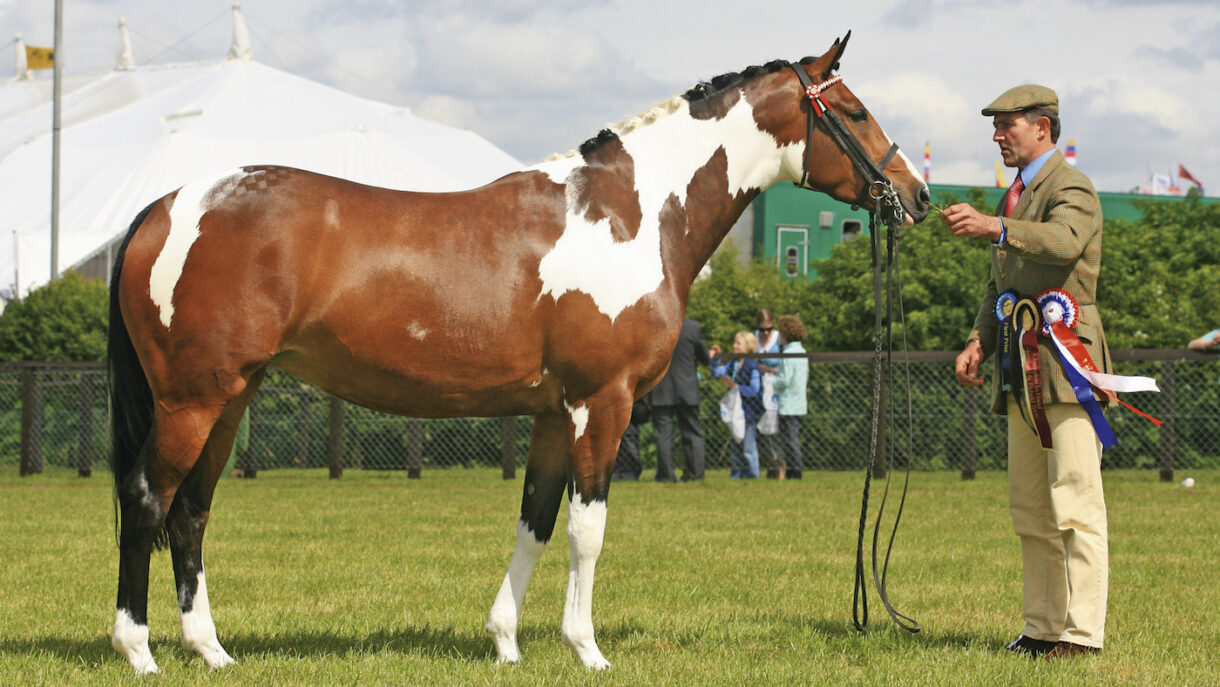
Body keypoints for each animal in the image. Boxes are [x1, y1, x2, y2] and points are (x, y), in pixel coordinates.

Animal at [107, 32, 929, 674]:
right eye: (853, 110)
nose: (915, 195)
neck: (631, 214)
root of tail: (165, 206)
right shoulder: (602, 403)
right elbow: (587, 529)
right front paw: (588, 648)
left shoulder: (550, 414)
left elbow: (534, 520)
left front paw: (506, 642)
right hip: (193, 400)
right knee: (148, 498)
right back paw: (138, 649)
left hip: (229, 399)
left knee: (192, 511)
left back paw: (210, 649)